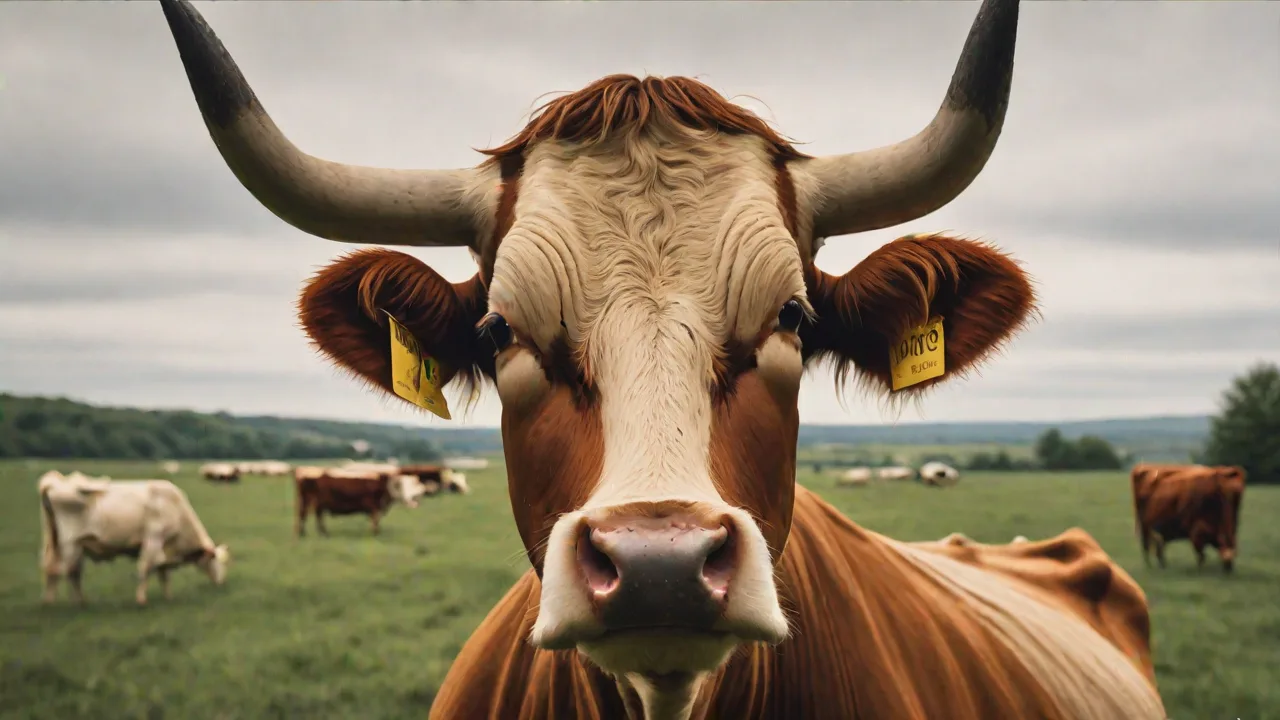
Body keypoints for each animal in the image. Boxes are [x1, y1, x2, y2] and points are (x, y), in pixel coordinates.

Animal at [38, 470, 230, 606]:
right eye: (216, 561)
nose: (222, 583)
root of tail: (56, 482)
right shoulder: (153, 540)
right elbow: (146, 569)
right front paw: (141, 600)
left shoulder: (164, 549)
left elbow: (164, 574)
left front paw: (168, 597)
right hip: (71, 544)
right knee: (71, 573)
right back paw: (79, 603)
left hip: (56, 543)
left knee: (53, 570)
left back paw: (52, 602)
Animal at [293, 466, 429, 537]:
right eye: (401, 486)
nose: (414, 501)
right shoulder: (374, 506)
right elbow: (375, 520)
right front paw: (375, 533)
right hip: (316, 502)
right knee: (312, 516)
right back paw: (320, 533)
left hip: (310, 502)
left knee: (307, 515)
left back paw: (307, 533)